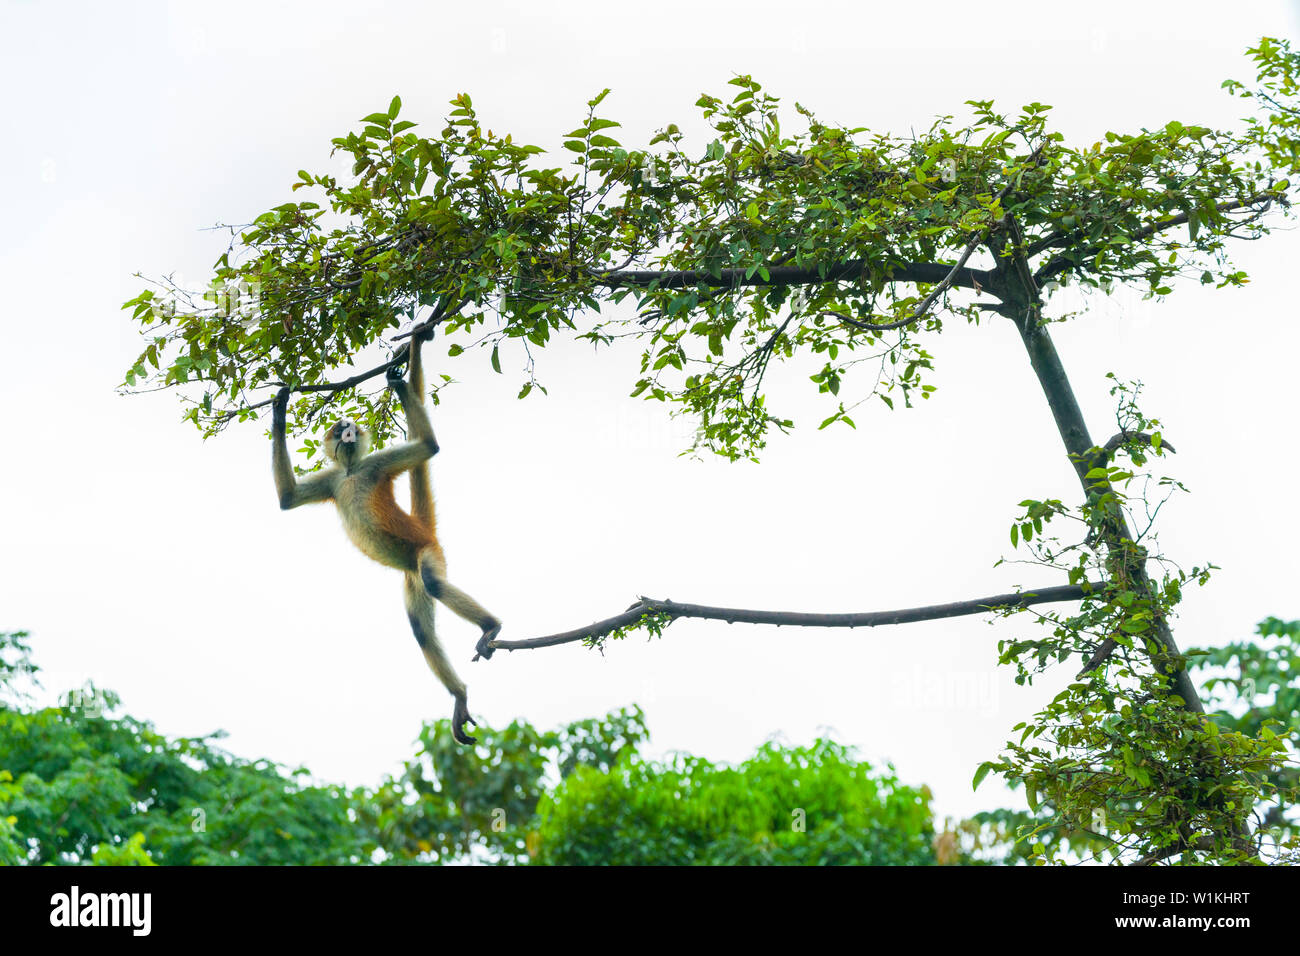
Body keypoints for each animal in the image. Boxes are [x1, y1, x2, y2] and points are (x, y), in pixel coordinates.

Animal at [271, 331, 501, 744]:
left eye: (351, 428)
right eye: (339, 430)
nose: (347, 430)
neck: (351, 472)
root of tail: (424, 533)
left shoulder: (375, 465)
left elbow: (428, 448)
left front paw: (397, 382)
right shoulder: (334, 479)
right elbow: (287, 499)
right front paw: (279, 408)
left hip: (427, 552)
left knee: (435, 583)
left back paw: (491, 627)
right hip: (411, 578)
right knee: (422, 629)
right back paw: (459, 695)